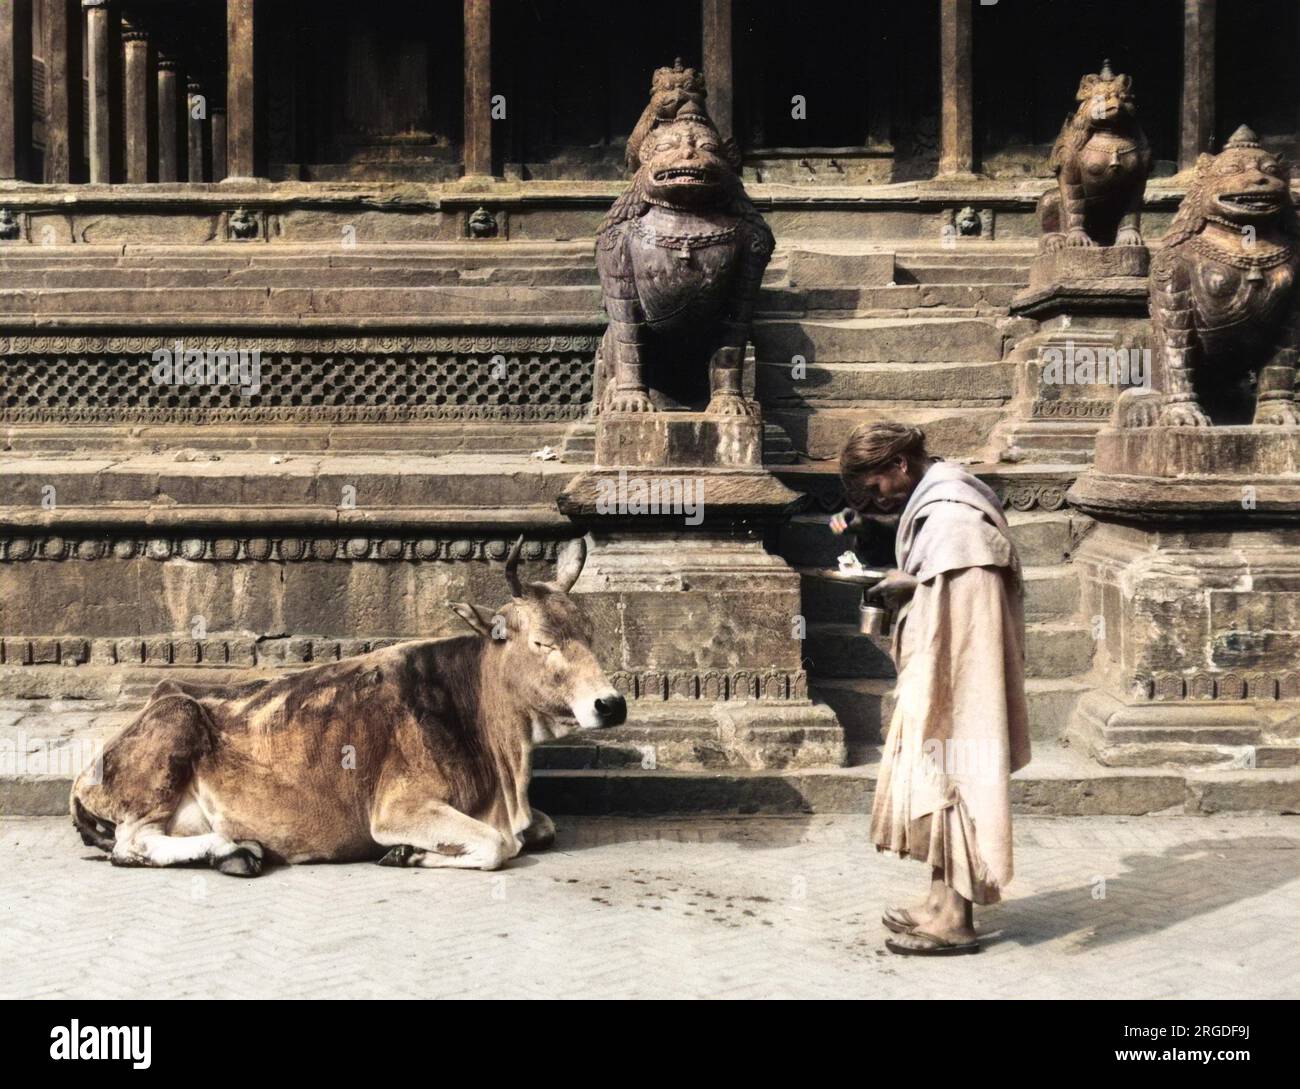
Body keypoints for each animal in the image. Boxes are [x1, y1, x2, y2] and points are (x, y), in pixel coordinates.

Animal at [69, 535, 625, 876]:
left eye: (590, 631)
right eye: (542, 642)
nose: (611, 704)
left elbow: (542, 829)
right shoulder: (399, 807)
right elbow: (497, 845)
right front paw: (405, 853)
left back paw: (238, 853)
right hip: (172, 734)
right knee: (133, 843)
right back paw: (234, 849)